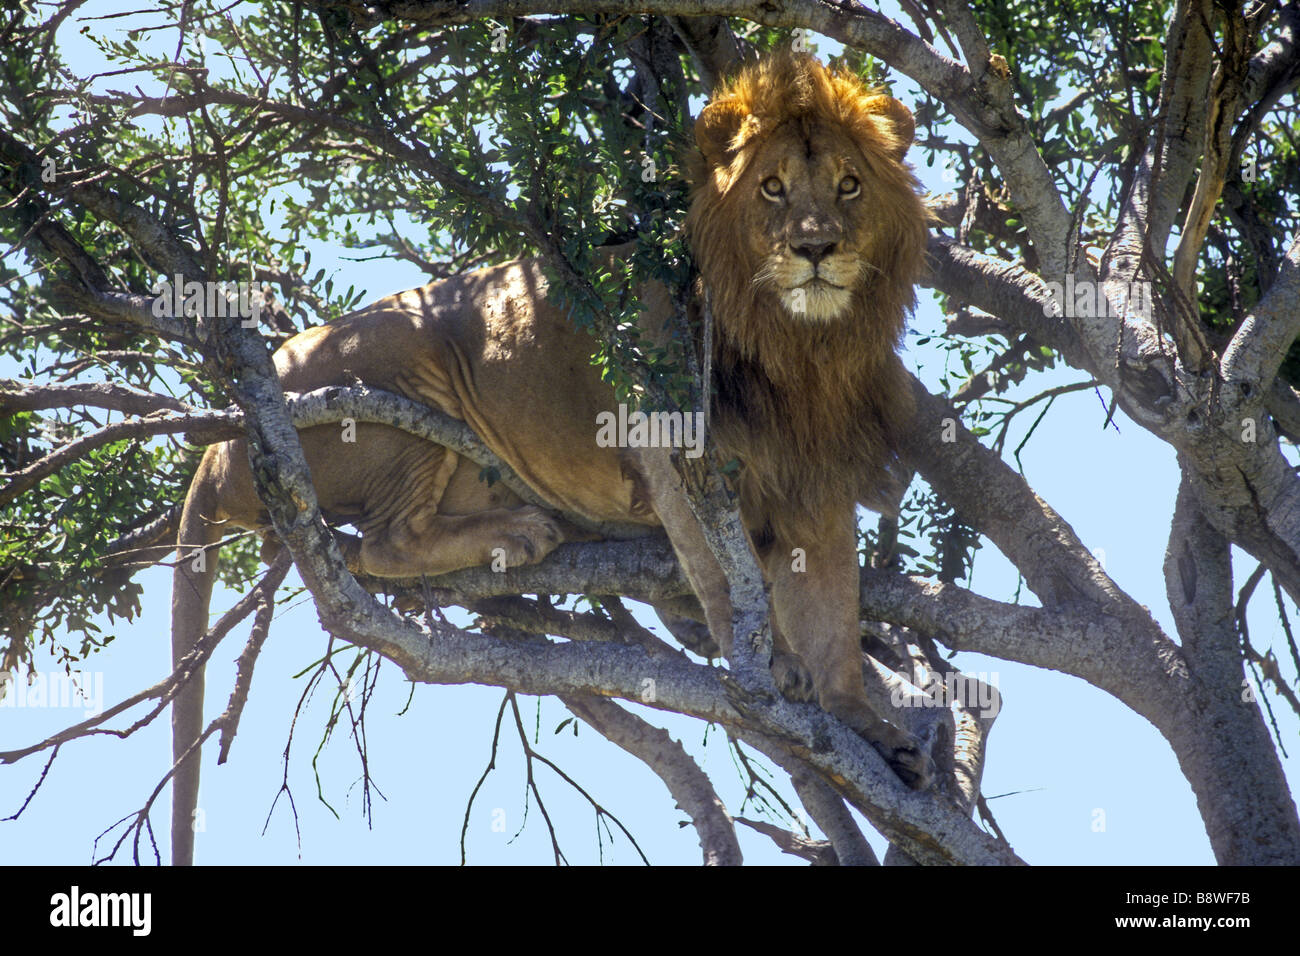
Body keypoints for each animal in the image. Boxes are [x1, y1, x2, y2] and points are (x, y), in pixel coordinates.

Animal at [167, 52, 935, 868]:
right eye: (772, 188)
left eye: (849, 185)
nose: (816, 249)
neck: (801, 349)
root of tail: (219, 446)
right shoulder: (673, 449)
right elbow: (723, 574)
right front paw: (766, 660)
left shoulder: (818, 479)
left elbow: (835, 618)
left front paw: (870, 726)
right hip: (403, 359)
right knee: (384, 544)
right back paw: (523, 533)